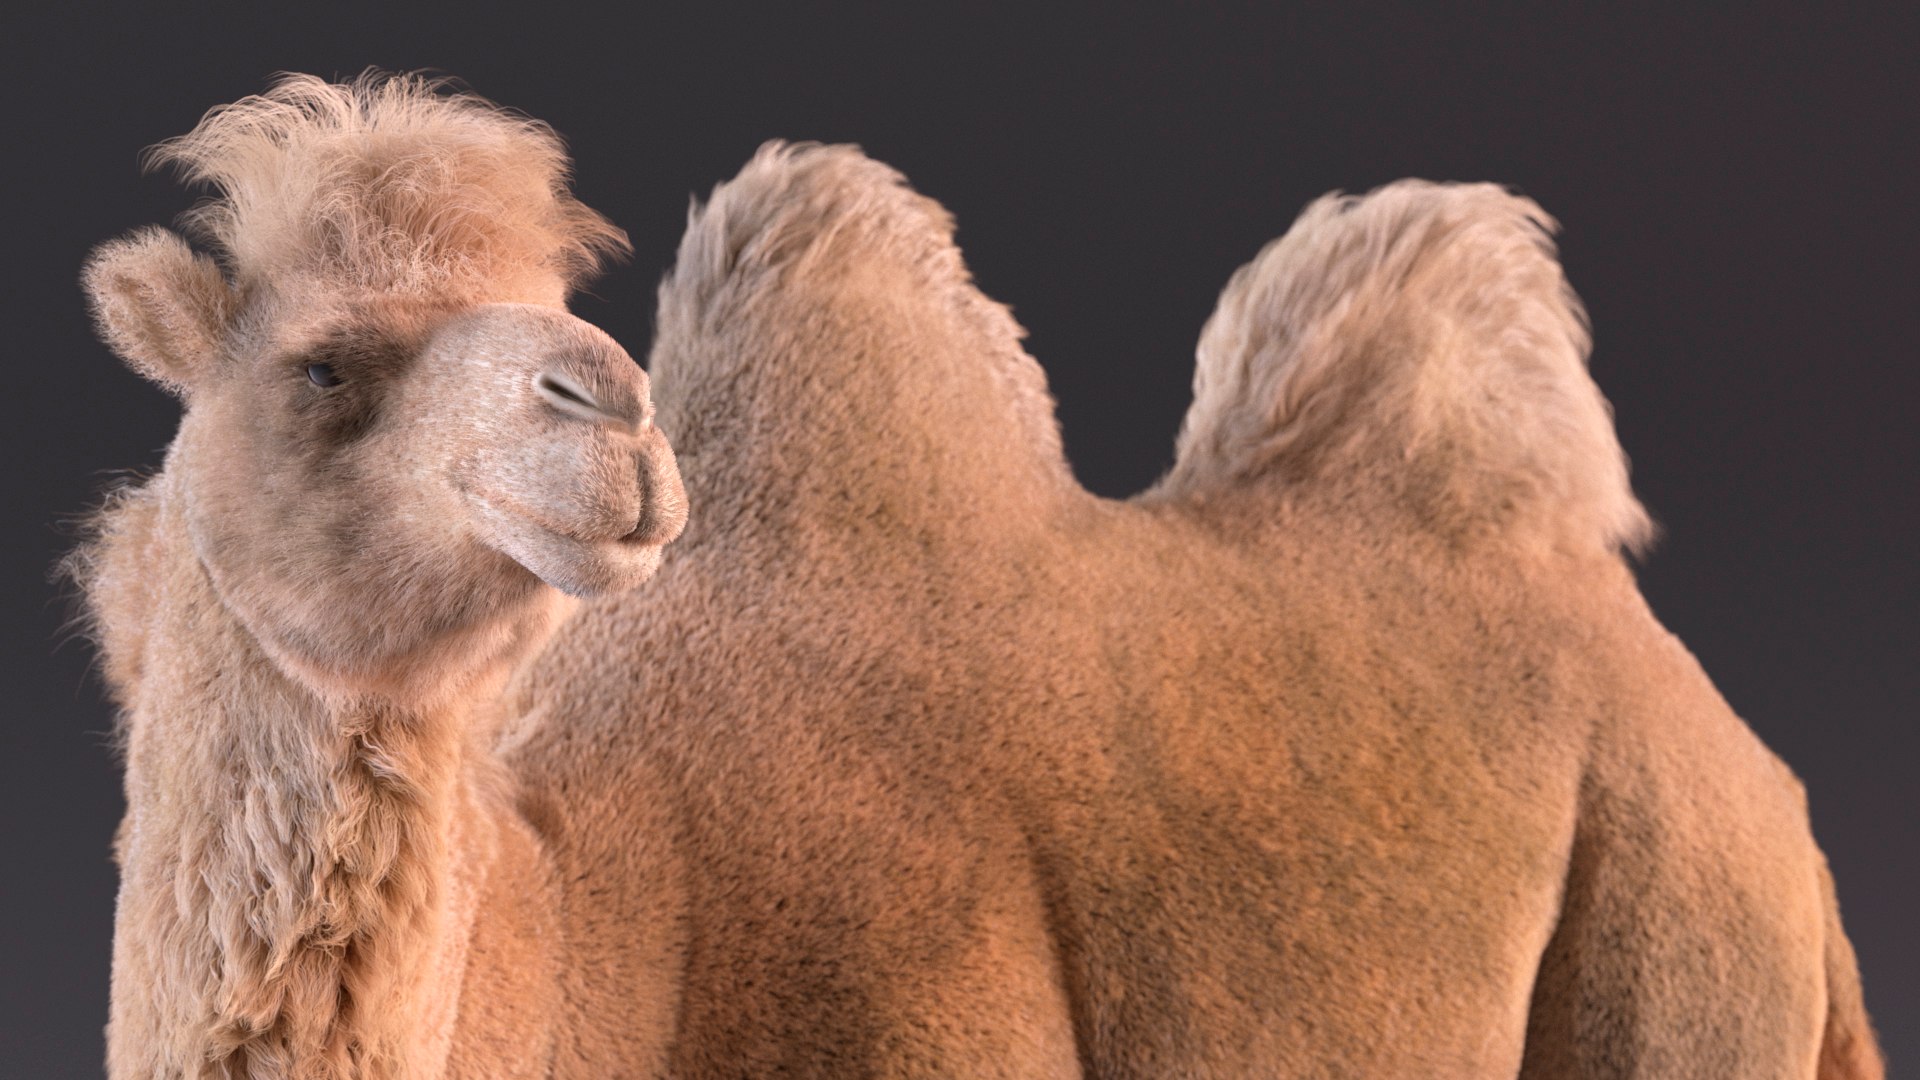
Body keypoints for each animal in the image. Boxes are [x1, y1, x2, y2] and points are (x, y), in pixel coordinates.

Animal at [71, 73, 1880, 1078]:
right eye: (320, 367)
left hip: (1680, 923)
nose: (610, 416)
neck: (614, 916)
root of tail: (1760, 778)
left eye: (551, 305)